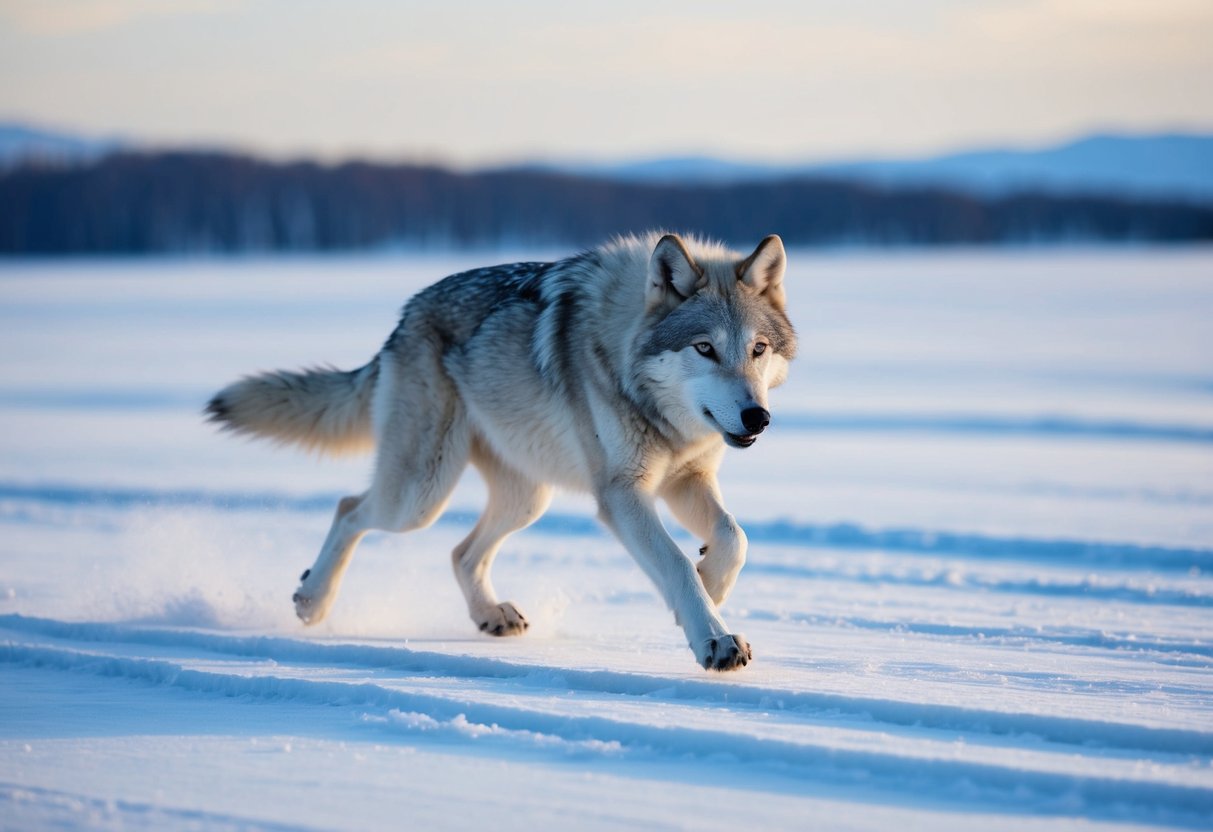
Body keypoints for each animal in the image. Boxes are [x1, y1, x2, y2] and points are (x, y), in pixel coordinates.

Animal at [206, 232, 796, 671]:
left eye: (758, 349)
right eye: (705, 348)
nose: (757, 418)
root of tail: (403, 318)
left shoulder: (685, 480)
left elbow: (734, 536)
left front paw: (713, 584)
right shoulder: (623, 495)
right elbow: (674, 564)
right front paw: (714, 637)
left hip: (526, 499)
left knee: (460, 552)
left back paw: (490, 614)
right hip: (420, 497)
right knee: (350, 508)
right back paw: (313, 600)